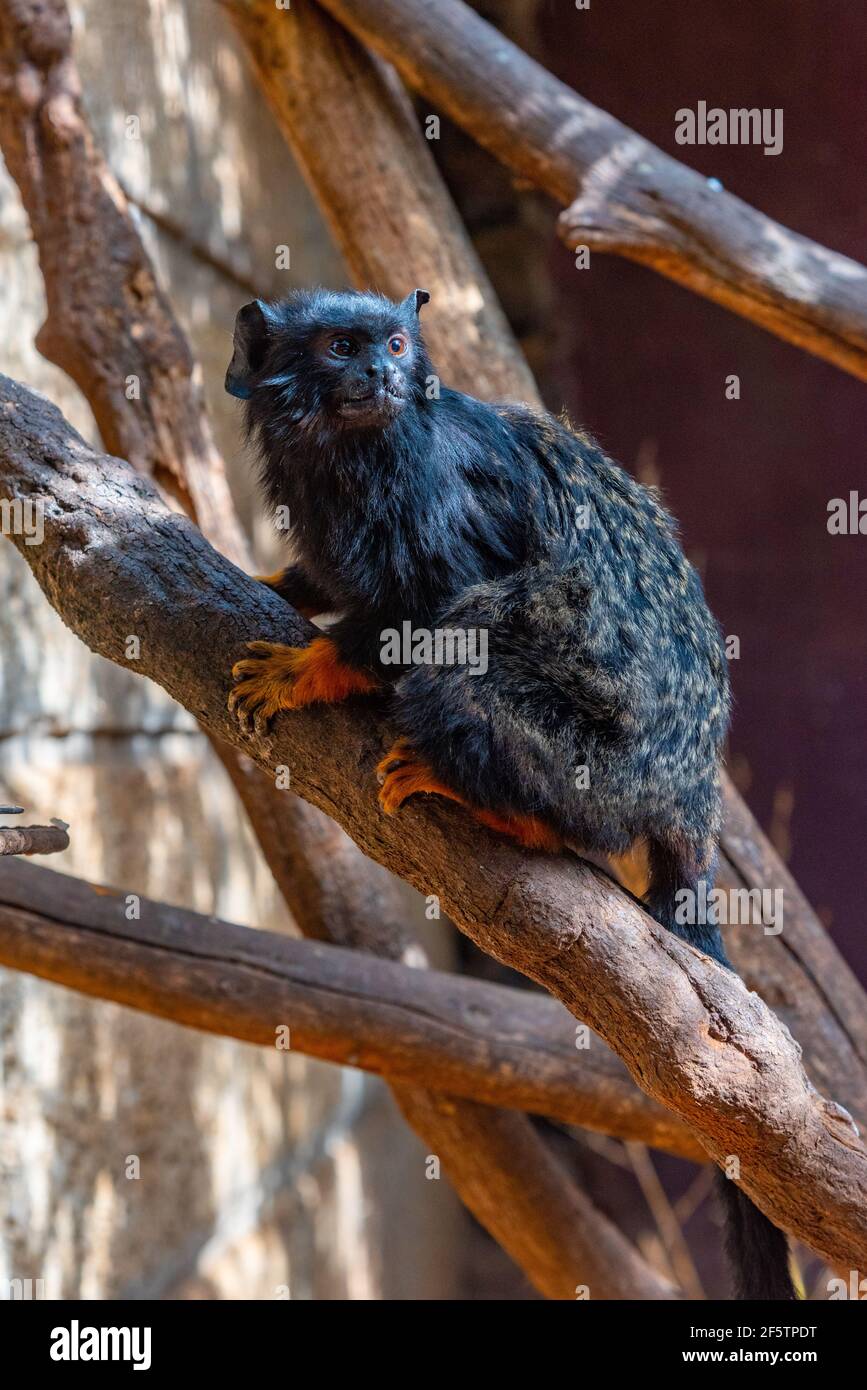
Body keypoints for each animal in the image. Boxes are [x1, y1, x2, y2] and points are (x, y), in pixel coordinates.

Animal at [224, 285, 795, 1302]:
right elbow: (323, 574)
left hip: (592, 764)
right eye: (341, 348)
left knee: (480, 653)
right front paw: (274, 579)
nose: (380, 379)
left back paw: (501, 807)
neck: (346, 451)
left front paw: (312, 668)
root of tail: (691, 792)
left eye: (395, 346)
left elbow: (435, 605)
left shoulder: (425, 494)